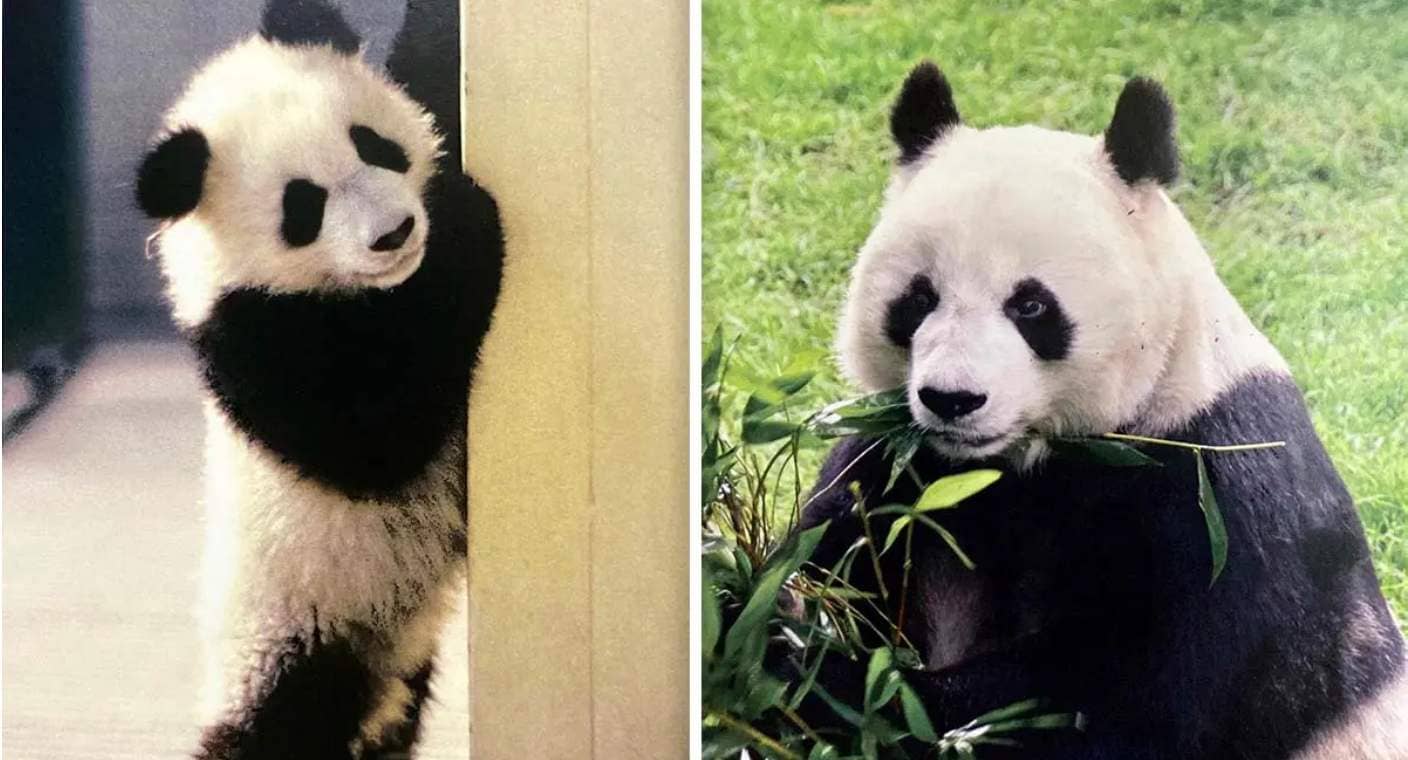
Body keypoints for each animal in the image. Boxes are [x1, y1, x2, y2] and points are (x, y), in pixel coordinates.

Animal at [134, 0, 502, 757]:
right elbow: (375, 446)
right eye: (303, 207)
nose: (396, 233)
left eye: (374, 145)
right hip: (292, 630)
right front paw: (472, 222)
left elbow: (431, 70)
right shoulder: (255, 338)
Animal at [797, 61, 1408, 759]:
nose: (953, 399)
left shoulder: (1217, 499)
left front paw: (818, 673)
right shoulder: (899, 467)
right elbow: (833, 552)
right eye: (919, 298)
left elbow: (1117, 703)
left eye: (1031, 306)